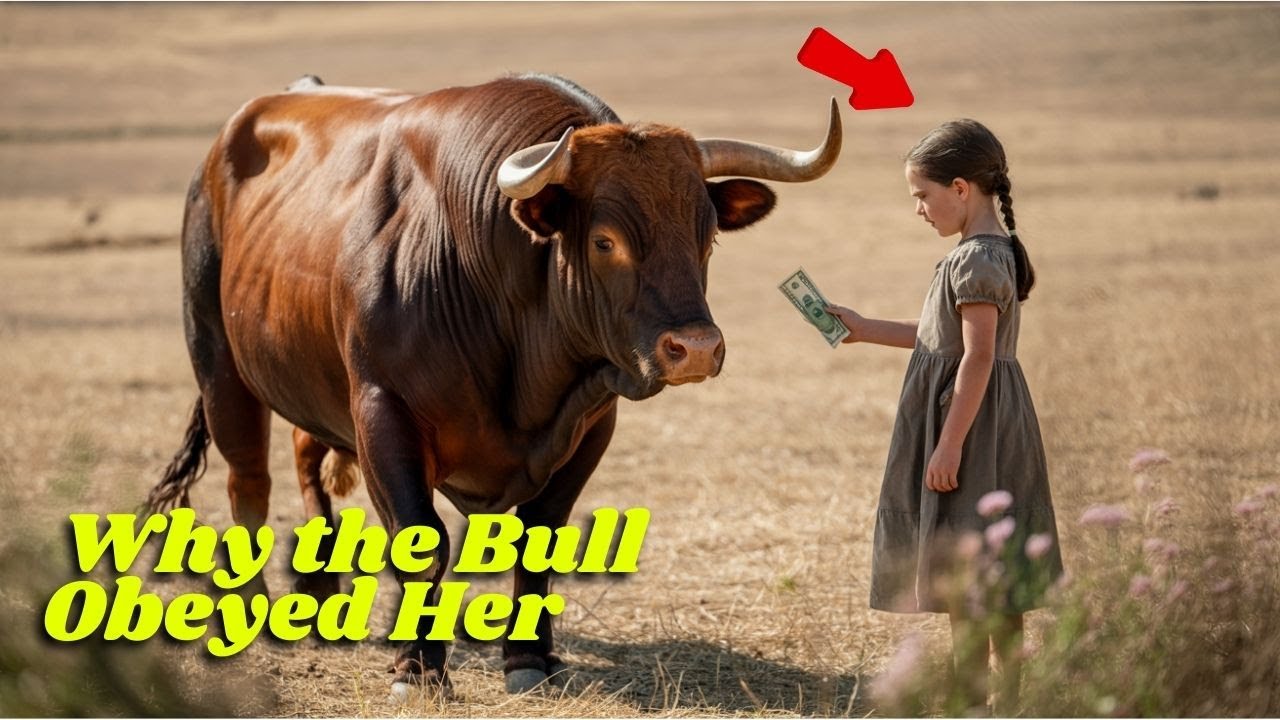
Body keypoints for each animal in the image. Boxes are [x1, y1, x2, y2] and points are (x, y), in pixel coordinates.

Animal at [145, 73, 840, 695]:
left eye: (708, 234)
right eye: (605, 241)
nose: (694, 348)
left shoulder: (592, 425)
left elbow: (540, 544)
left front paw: (528, 659)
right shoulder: (382, 413)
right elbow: (420, 541)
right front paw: (417, 670)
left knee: (304, 456)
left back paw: (318, 596)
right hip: (219, 362)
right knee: (248, 483)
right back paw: (253, 608)